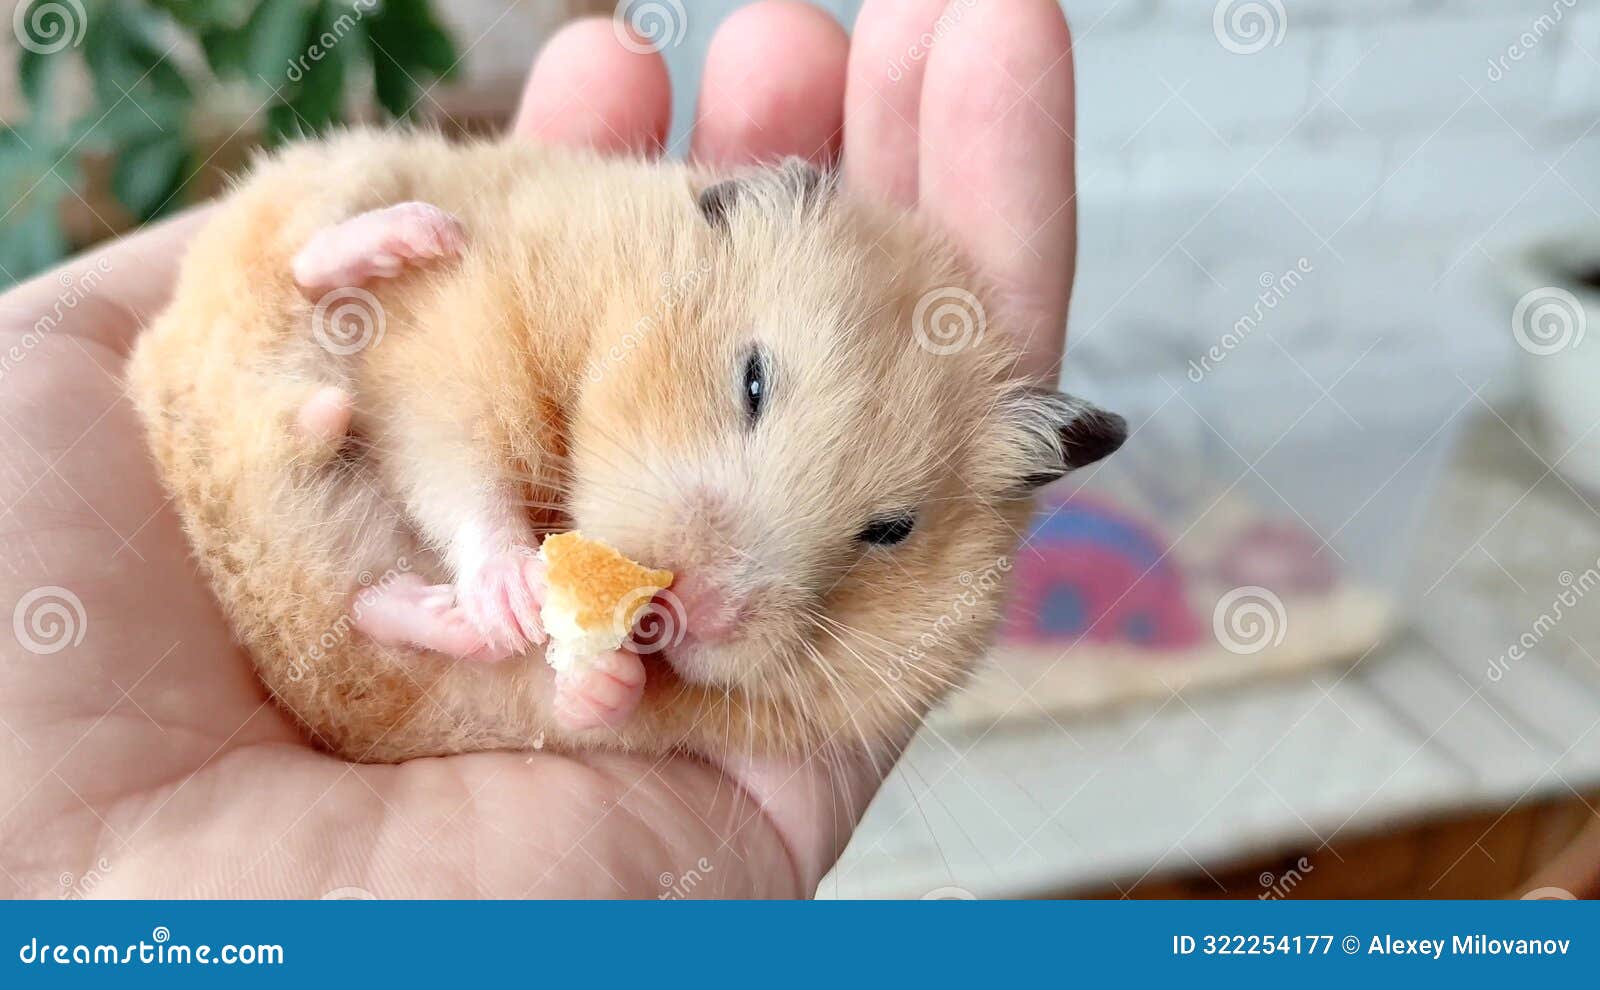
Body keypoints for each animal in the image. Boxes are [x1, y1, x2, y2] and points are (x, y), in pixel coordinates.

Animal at [127, 129, 1125, 765]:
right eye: (752, 381)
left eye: (891, 532)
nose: (692, 609)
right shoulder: (461, 339)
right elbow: (460, 464)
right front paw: (513, 600)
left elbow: (606, 704)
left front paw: (598, 676)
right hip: (315, 180)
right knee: (299, 260)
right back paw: (408, 235)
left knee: (362, 613)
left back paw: (423, 612)